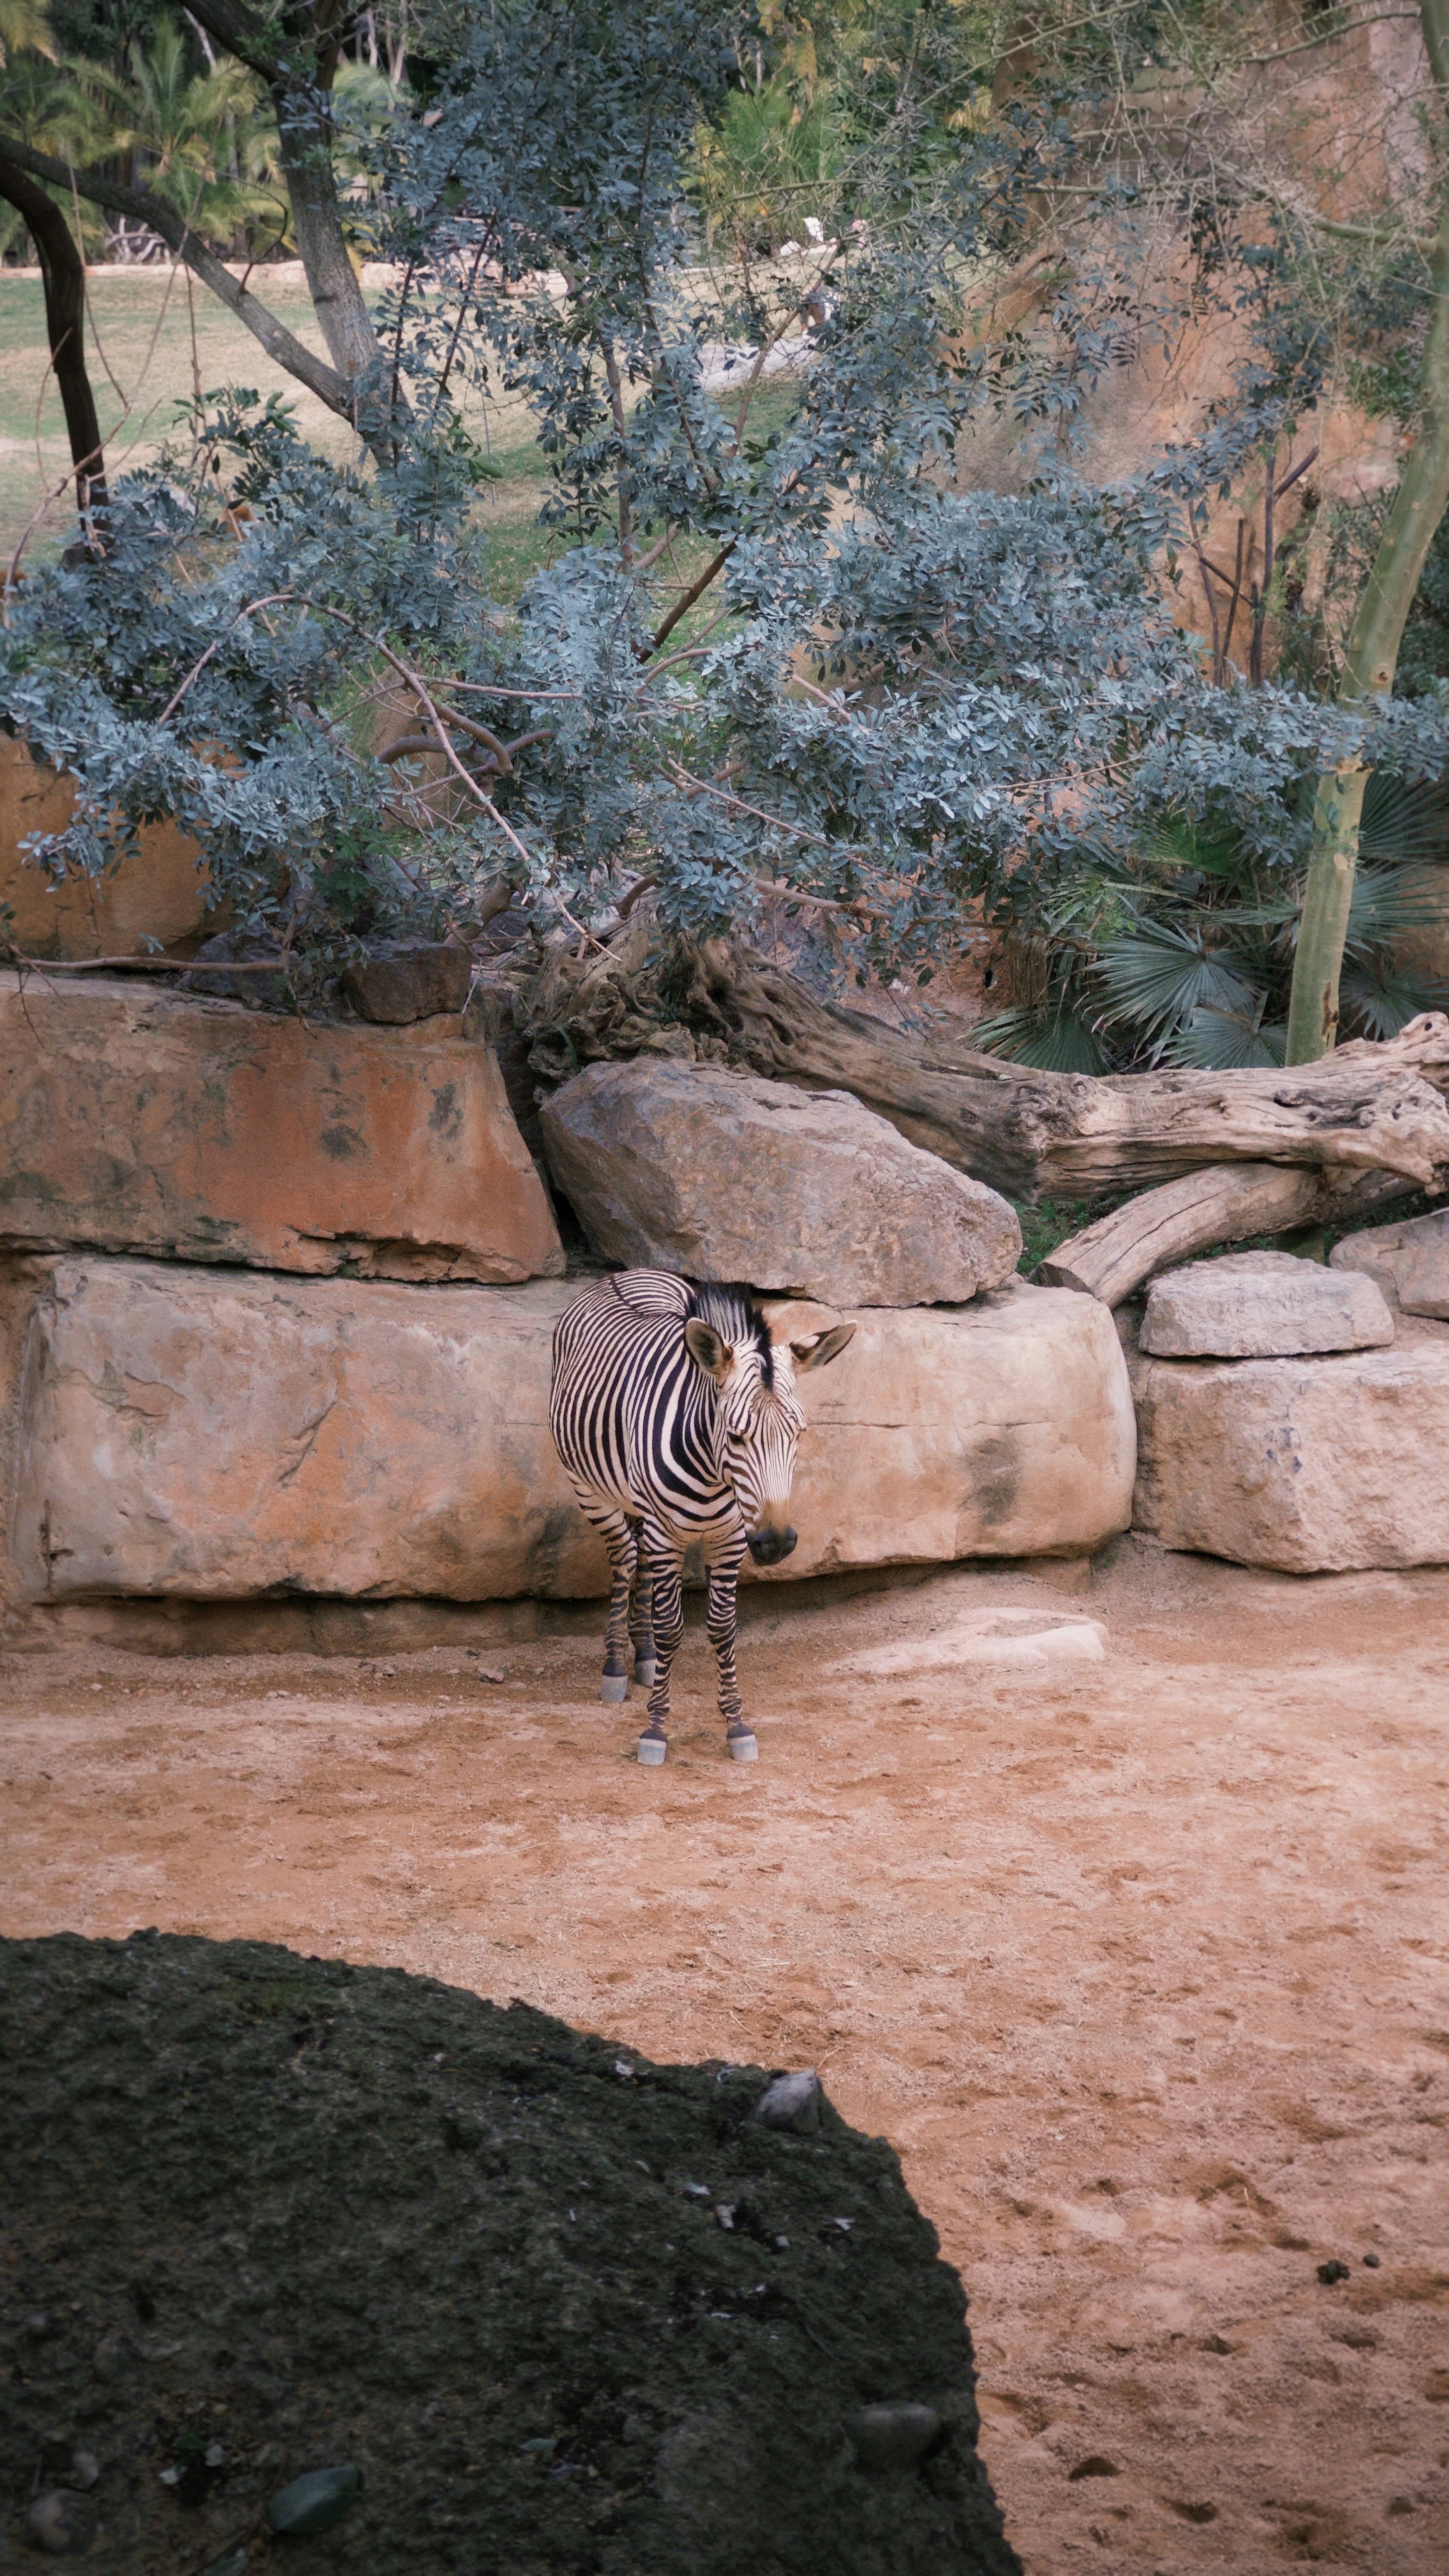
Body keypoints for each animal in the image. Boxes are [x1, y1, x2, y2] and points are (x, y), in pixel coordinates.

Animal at [549, 1268, 855, 1764]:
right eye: (735, 1436)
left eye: (798, 1434)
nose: (776, 1543)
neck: (712, 1472)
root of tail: (626, 1274)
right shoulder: (665, 1531)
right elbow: (673, 1627)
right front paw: (655, 1729)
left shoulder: (731, 1538)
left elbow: (722, 1628)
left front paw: (737, 1724)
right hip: (592, 1492)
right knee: (625, 1558)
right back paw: (616, 1665)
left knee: (642, 1565)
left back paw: (645, 1657)